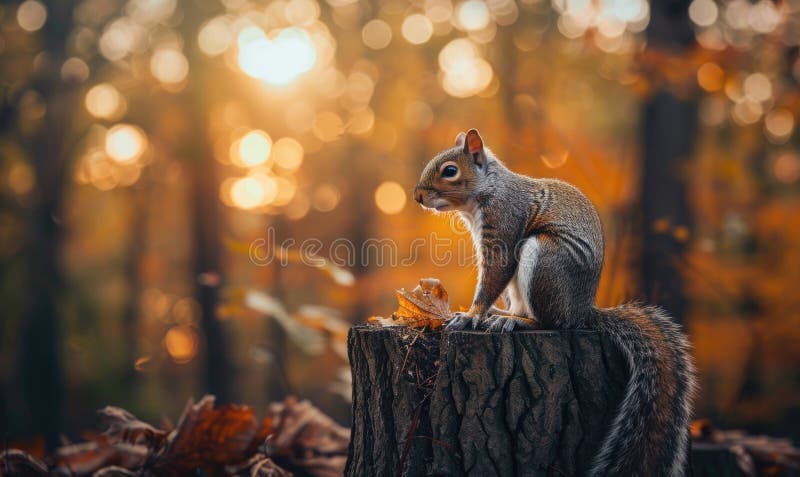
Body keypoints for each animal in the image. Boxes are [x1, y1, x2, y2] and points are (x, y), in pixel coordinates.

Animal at [413, 129, 697, 476]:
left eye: (450, 171)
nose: (418, 196)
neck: (488, 190)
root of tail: (582, 311)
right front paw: (478, 312)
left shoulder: (504, 224)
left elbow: (494, 275)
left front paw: (471, 315)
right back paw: (505, 314)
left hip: (545, 259)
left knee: (552, 323)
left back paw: (517, 322)